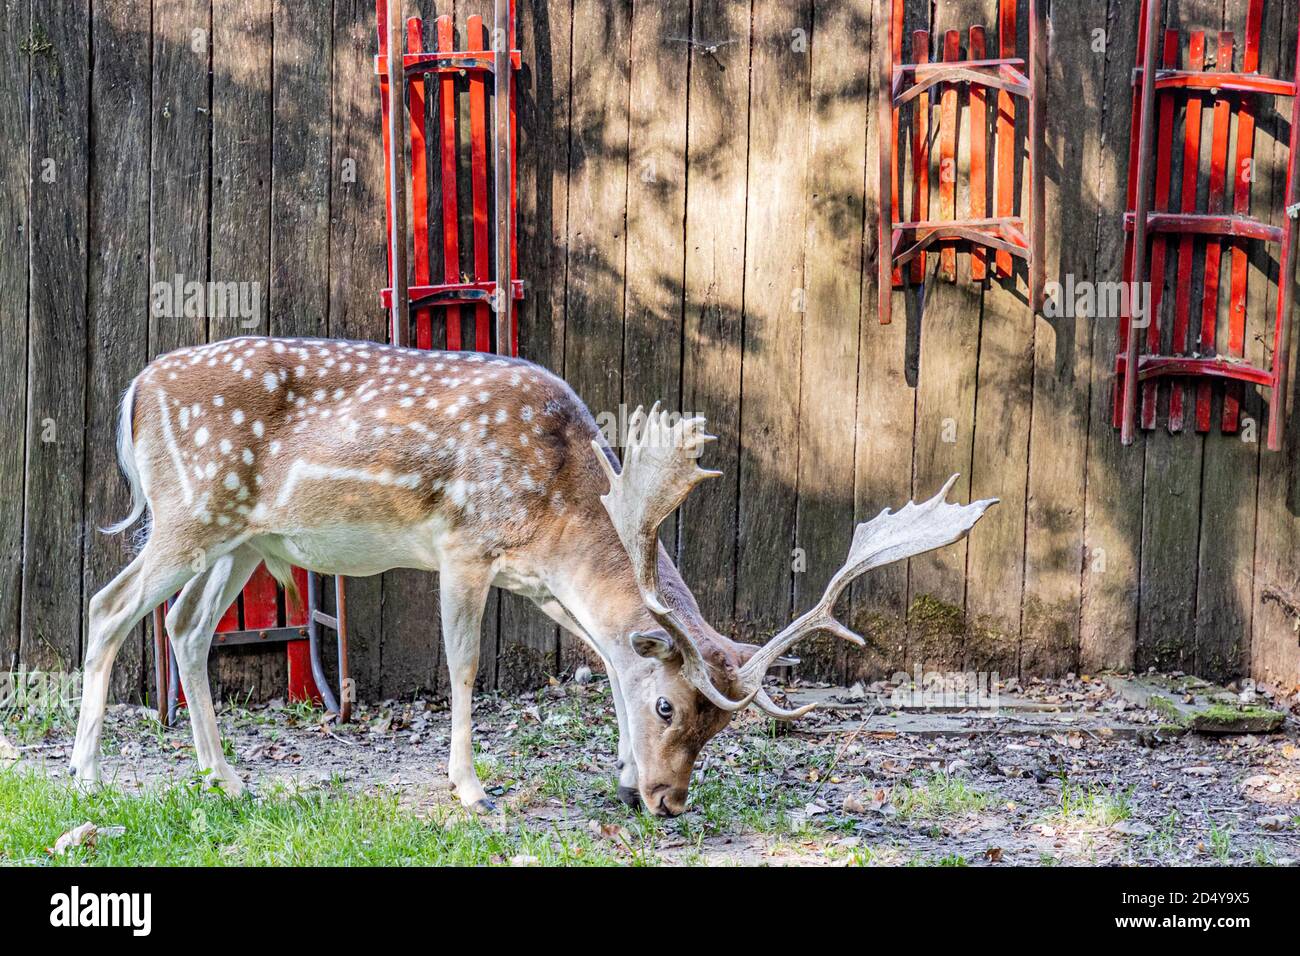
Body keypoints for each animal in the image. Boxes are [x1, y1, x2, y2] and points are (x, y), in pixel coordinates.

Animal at [71, 336, 995, 816]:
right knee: (108, 604)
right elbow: (465, 667)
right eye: (671, 707)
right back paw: (85, 774)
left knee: (185, 627)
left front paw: (617, 770)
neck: (560, 507)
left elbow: (604, 658)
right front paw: (471, 787)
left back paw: (223, 775)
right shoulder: (464, 546)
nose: (669, 801)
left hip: (246, 539)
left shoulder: (541, 583)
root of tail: (134, 390)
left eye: (717, 727)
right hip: (191, 512)